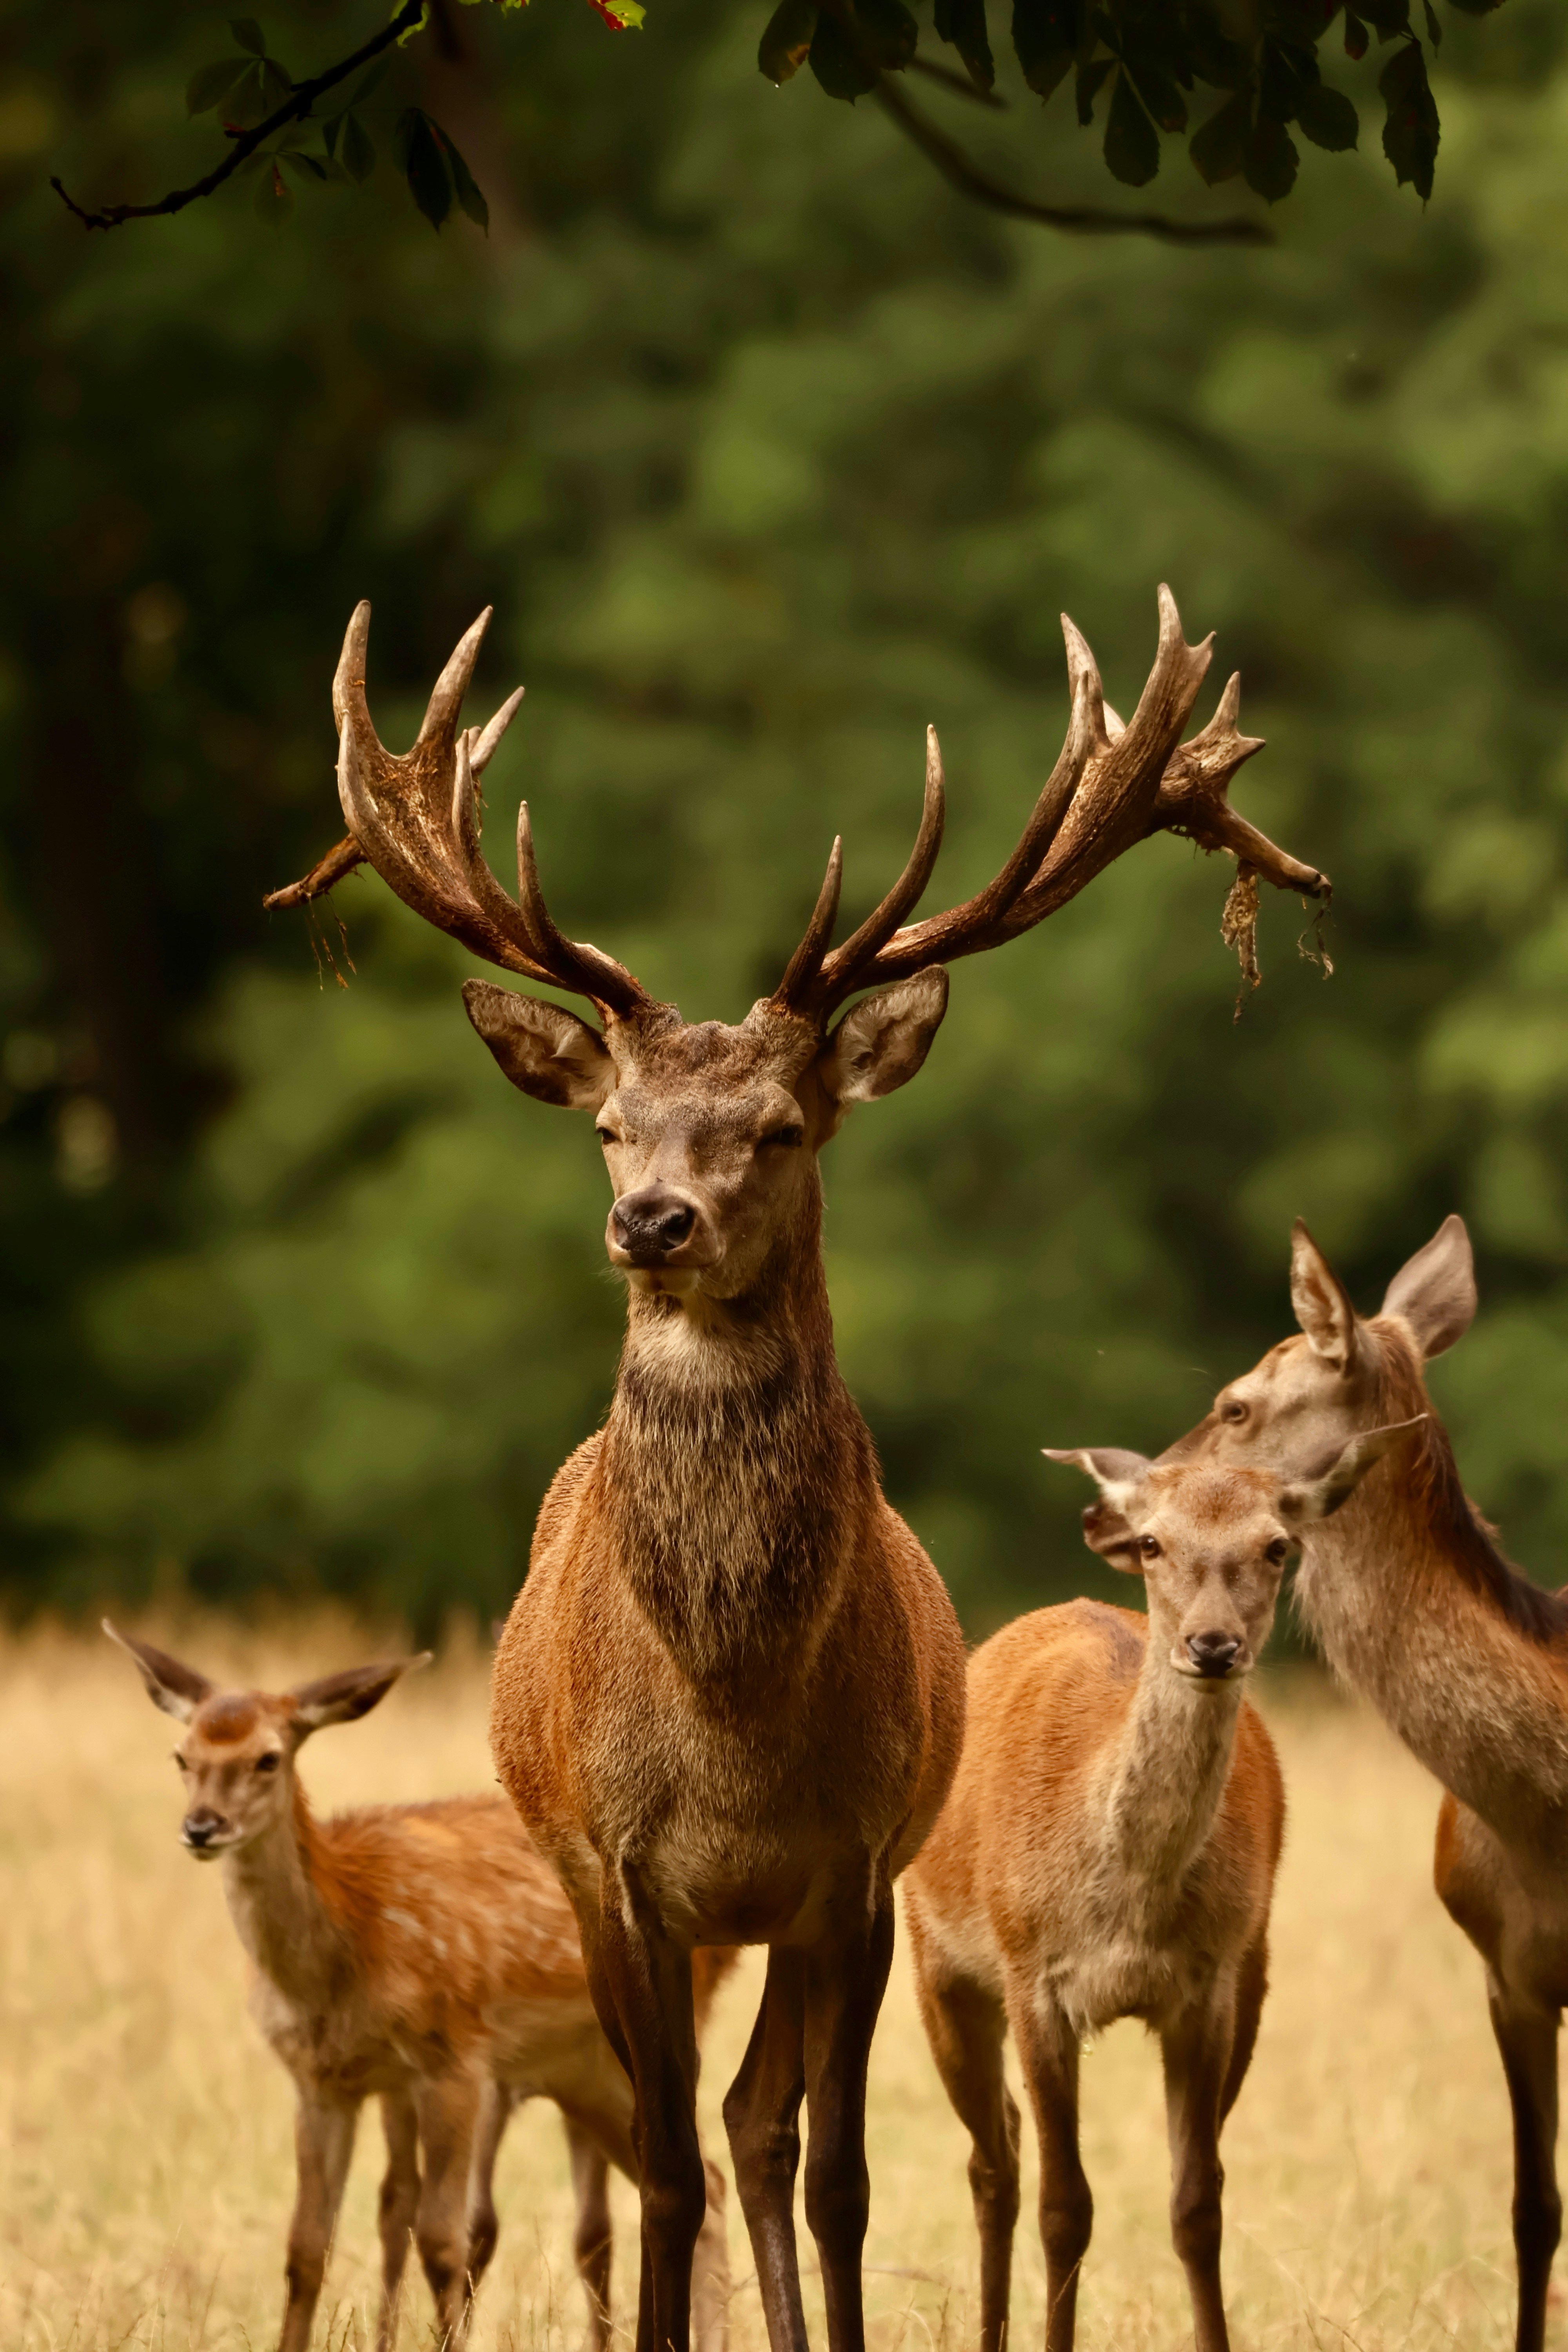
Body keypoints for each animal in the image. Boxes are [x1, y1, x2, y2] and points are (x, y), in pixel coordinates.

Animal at [104, 1624, 736, 2352]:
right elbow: (306, 2247)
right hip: (578, 2077)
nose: (202, 1827)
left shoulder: (453, 2058)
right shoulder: (322, 2083)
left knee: (703, 2181)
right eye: (182, 1756)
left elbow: (442, 2240)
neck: (350, 1944)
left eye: (268, 1759)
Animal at [264, 581, 1327, 2352]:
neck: (734, 1717)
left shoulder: (855, 1866)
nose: (652, 1221)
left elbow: (834, 2179)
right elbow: (663, 2173)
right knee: (707, 2139)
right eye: (610, 1123)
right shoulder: (615, 1869)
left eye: (779, 1126)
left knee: (767, 2128)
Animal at [903, 1435, 1405, 2352]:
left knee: (1012, 2142)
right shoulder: (1034, 1976)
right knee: (994, 2164)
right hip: (937, 1962)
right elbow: (1065, 2207)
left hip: (1251, 1975)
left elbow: (1196, 2203)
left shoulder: (1213, 1988)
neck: (1128, 1906)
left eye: (1276, 1546)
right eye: (1152, 1543)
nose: (1211, 1645)